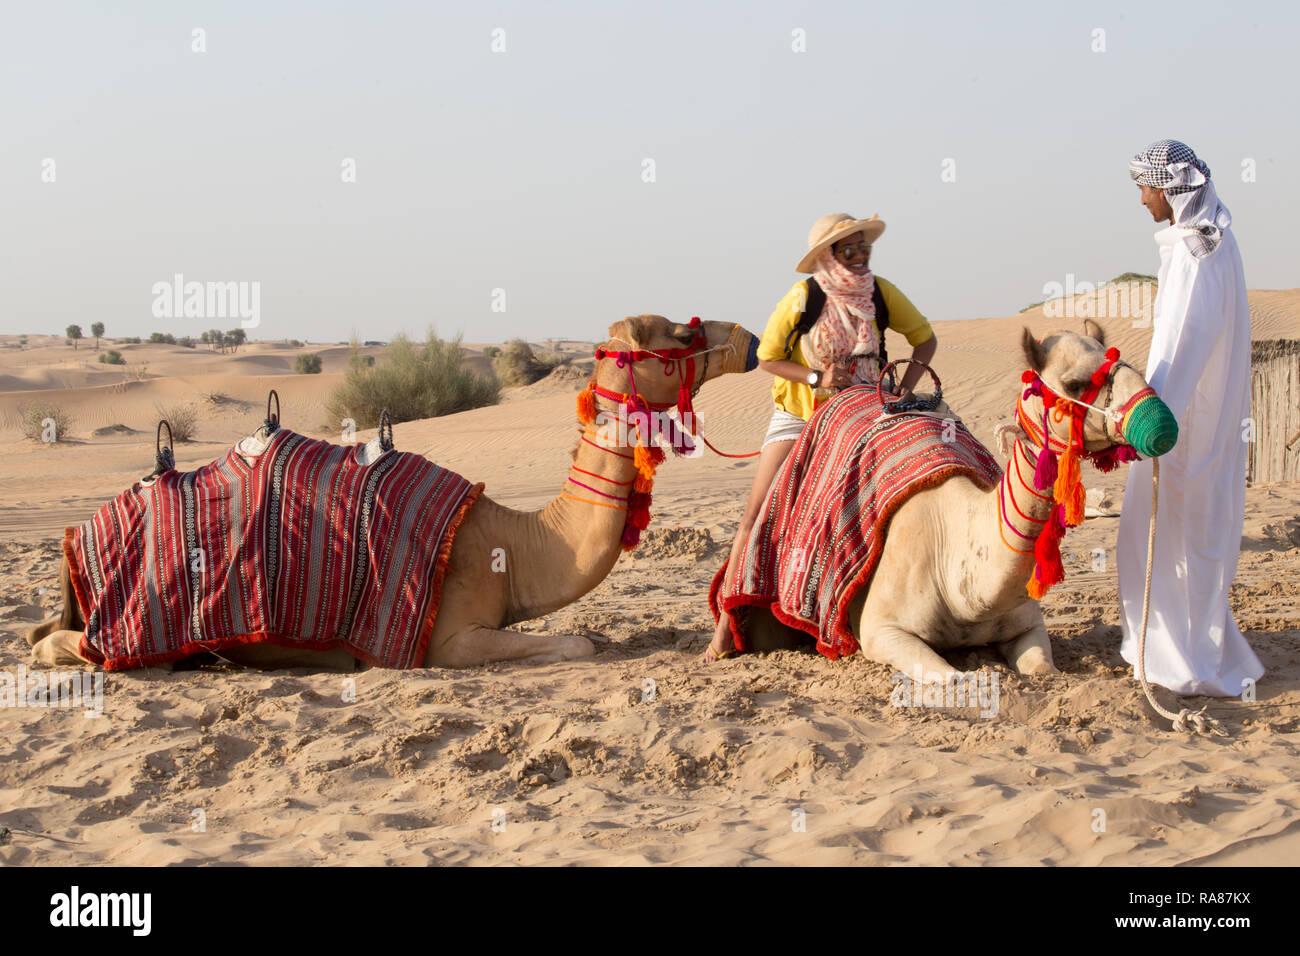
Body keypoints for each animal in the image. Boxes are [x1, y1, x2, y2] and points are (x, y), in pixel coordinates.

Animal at [27, 315, 758, 670]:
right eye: (682, 334)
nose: (749, 341)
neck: (512, 544)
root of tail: (76, 538)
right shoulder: (446, 640)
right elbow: (579, 644)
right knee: (53, 645)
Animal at [743, 319, 1175, 682]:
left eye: (1129, 362)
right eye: (1072, 384)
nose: (1161, 422)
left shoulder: (1028, 624)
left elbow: (1045, 671)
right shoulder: (882, 631)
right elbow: (955, 678)